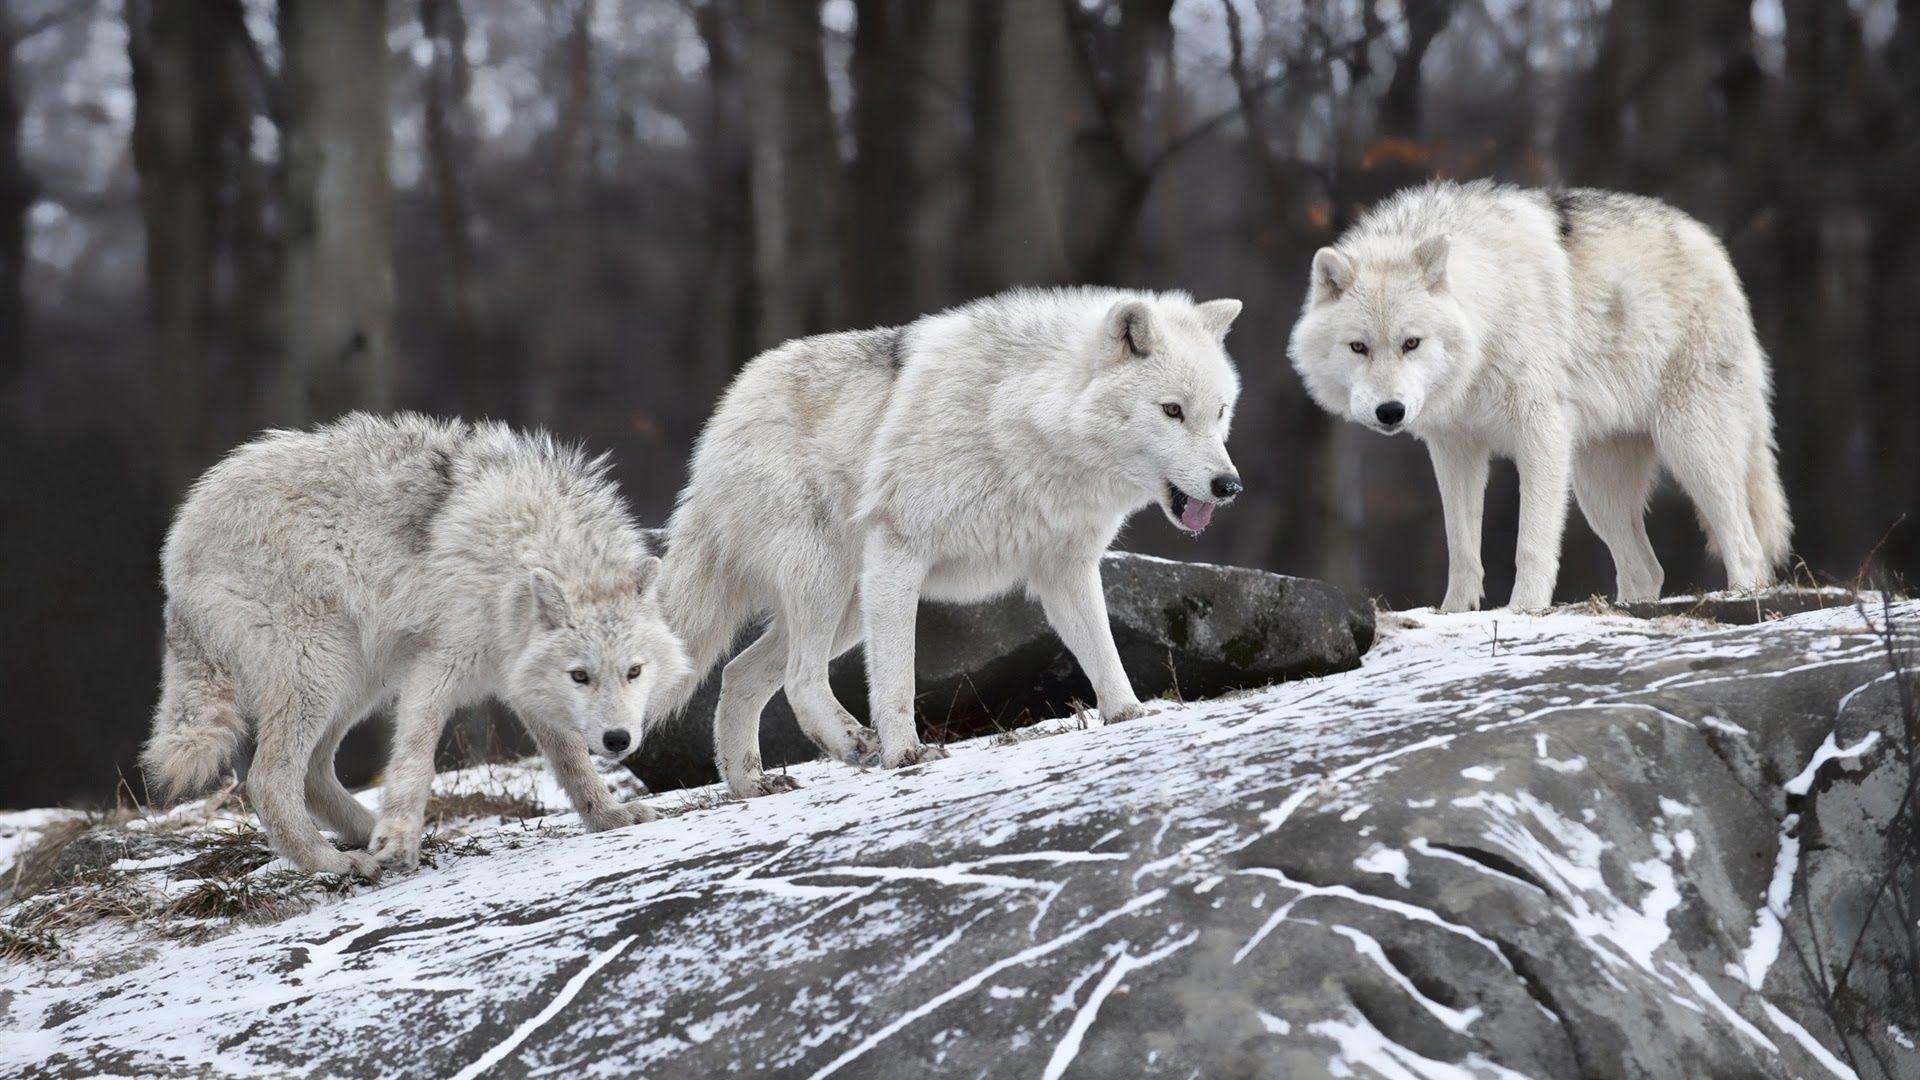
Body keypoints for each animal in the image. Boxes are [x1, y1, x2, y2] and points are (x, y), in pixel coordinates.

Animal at [141, 413, 690, 878]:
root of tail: (179, 539)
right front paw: (399, 837)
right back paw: (335, 862)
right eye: (581, 676)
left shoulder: (521, 679)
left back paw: (372, 835)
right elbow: (416, 760)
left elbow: (572, 762)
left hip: (357, 680)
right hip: (322, 671)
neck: (517, 552)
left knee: (313, 775)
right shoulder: (437, 666)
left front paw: (609, 816)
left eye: (634, 672)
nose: (618, 740)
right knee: (268, 781)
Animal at [656, 288, 1244, 796]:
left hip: (848, 606)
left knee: (738, 673)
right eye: (1172, 410)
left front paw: (1129, 716)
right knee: (800, 677)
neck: (1020, 419)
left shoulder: (1065, 569)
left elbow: (1103, 652)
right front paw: (906, 754)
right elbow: (897, 676)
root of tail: (723, 416)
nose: (1229, 485)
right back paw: (852, 744)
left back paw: (750, 784)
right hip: (829, 583)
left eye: (1219, 412)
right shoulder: (899, 552)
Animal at [1288, 180, 1790, 611]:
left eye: (1411, 343)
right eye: (1358, 347)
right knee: (1647, 569)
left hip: (1690, 448)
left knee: (1746, 545)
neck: (1488, 315)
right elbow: (1462, 548)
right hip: (1597, 489)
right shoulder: (1455, 449)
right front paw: (1454, 612)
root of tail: (1710, 243)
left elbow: (1530, 543)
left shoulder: (1540, 433)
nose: (1390, 411)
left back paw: (1741, 597)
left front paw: (1524, 609)